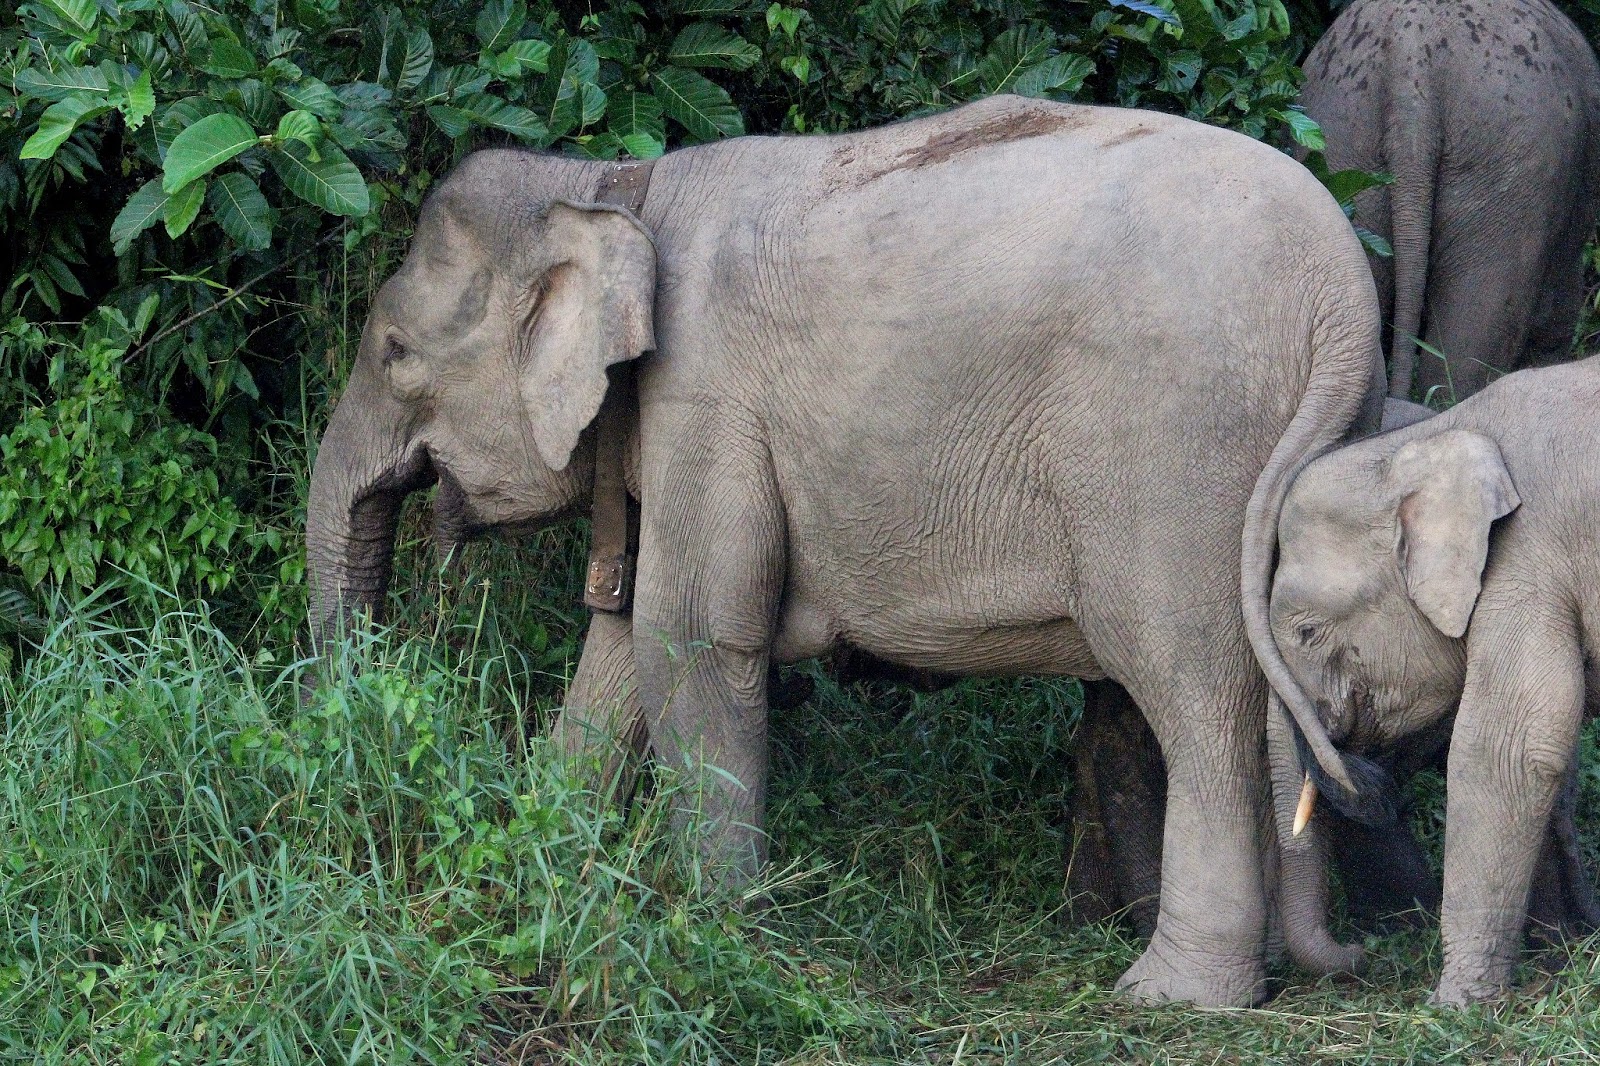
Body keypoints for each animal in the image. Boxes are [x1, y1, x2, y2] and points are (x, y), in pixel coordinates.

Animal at [305, 93, 1385, 1006]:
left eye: (395, 353)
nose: (363, 703)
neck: (610, 184)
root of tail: (1342, 292)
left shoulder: (705, 392)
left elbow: (691, 635)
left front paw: (719, 927)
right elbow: (619, 645)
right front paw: (545, 853)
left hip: (1175, 458)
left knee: (1190, 690)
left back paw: (1172, 993)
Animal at [1253, 354, 1600, 1004]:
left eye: (1307, 632)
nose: (1364, 951)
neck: (1436, 435)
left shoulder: (1527, 557)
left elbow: (1506, 750)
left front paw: (1457, 1006)